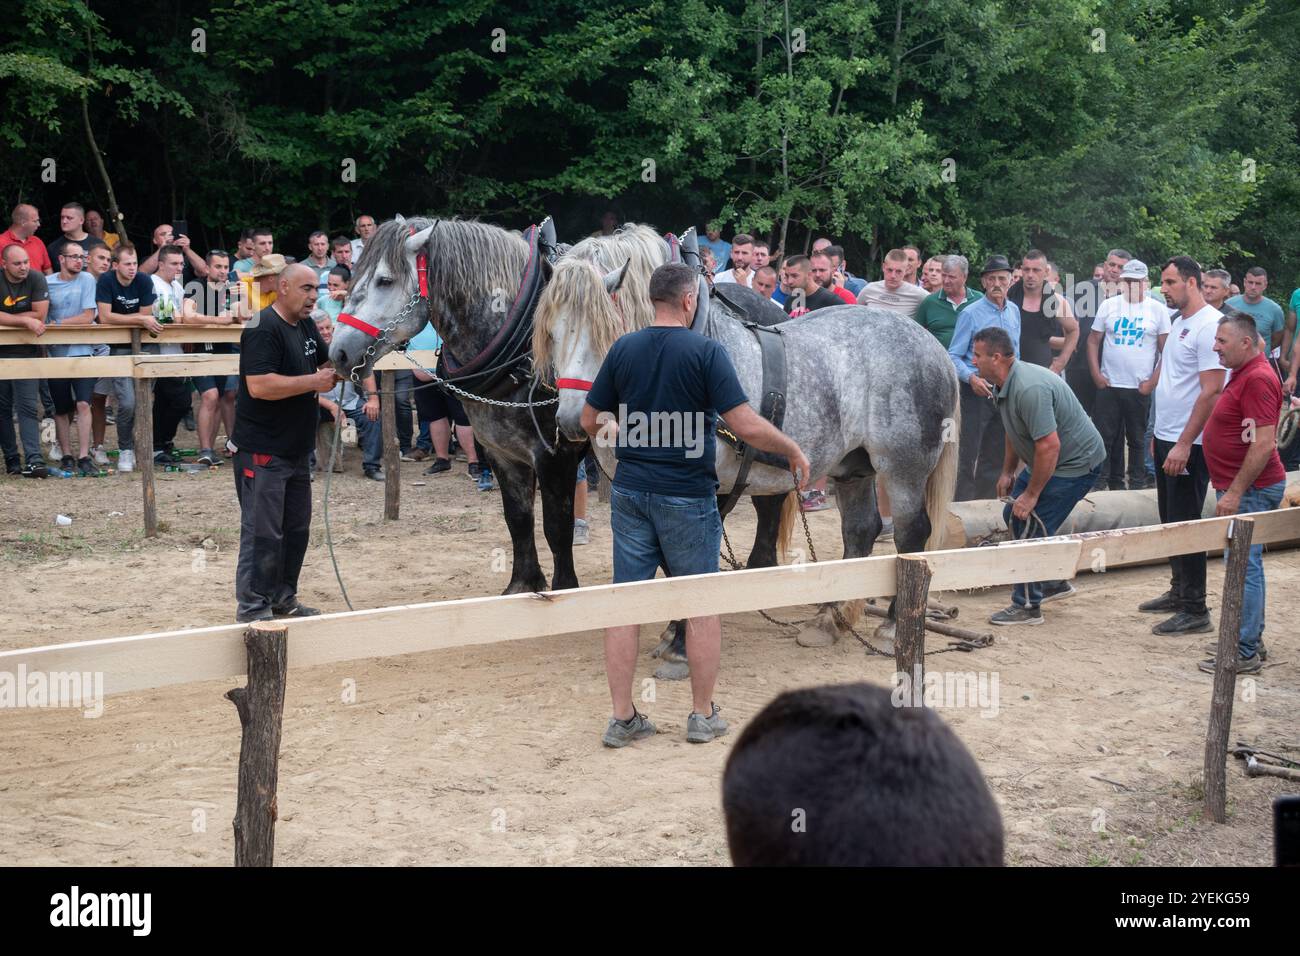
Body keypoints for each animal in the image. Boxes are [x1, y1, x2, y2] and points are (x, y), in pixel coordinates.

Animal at [328, 216, 588, 595]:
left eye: (385, 280)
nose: (338, 353)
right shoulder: (501, 451)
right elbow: (518, 519)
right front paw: (523, 585)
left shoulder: (557, 456)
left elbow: (557, 528)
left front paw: (566, 590)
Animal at [534, 240, 961, 654]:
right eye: (550, 334)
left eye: (601, 330)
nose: (571, 420)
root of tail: (932, 346)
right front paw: (673, 632)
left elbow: (688, 564)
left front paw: (680, 641)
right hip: (852, 467)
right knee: (859, 530)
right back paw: (829, 621)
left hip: (903, 467)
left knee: (911, 533)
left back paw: (892, 625)